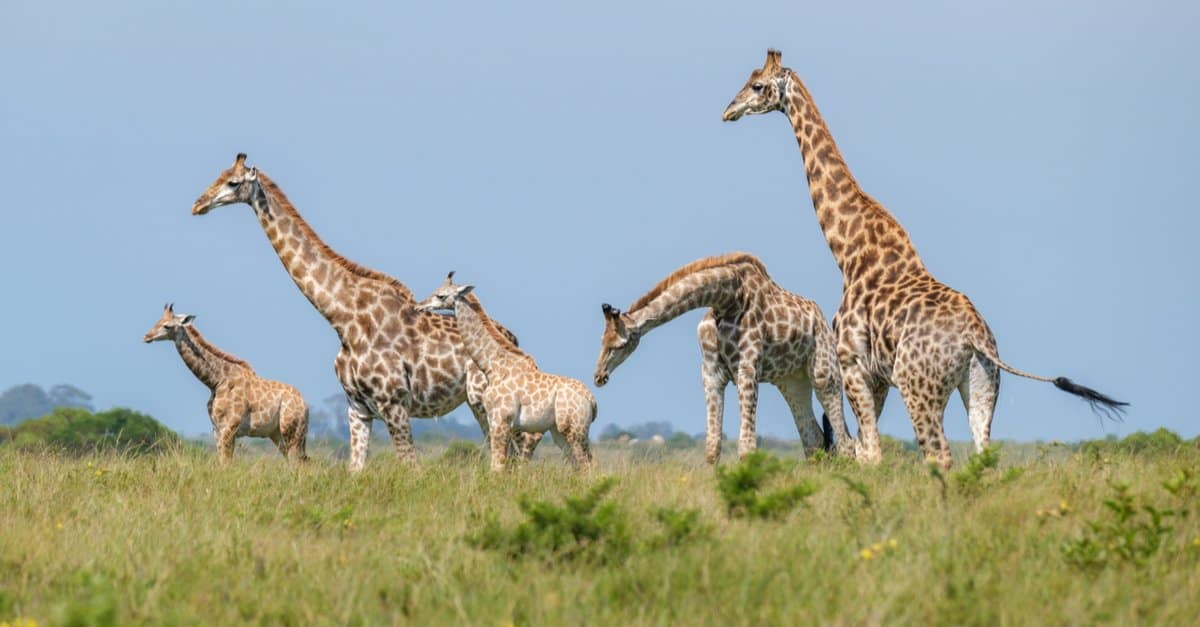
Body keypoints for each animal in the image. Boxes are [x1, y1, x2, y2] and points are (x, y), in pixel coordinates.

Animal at [143, 304, 308, 463]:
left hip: (291, 431)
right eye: (157, 321)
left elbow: (226, 463)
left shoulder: (229, 428)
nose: (146, 337)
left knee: (297, 462)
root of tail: (305, 404)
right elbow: (222, 462)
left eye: (167, 326)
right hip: (277, 433)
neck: (216, 381)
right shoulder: (217, 429)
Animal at [190, 153, 533, 471]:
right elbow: (355, 469)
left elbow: (410, 466)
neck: (344, 318)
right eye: (218, 176)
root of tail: (514, 339)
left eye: (233, 182)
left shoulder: (394, 403)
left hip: (486, 401)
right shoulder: (357, 407)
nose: (198, 205)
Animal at [417, 273, 596, 471]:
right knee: (580, 466)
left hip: (574, 430)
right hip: (559, 432)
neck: (493, 366)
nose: (419, 306)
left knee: (588, 466)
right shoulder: (497, 421)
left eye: (440, 296)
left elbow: (497, 466)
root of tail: (592, 400)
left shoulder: (500, 419)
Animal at [592, 252, 854, 464]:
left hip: (824, 374)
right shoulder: (712, 374)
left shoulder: (747, 370)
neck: (726, 299)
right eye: (601, 339)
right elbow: (712, 447)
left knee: (845, 442)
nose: (598, 376)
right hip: (792, 381)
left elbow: (747, 447)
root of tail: (823, 322)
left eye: (619, 345)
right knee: (814, 440)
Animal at [722, 50, 1127, 468]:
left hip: (919, 389)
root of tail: (975, 338)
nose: (728, 111)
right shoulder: (878, 378)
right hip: (982, 386)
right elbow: (866, 449)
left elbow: (870, 453)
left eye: (757, 85)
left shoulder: (853, 364)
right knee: (982, 450)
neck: (848, 251)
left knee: (939, 455)